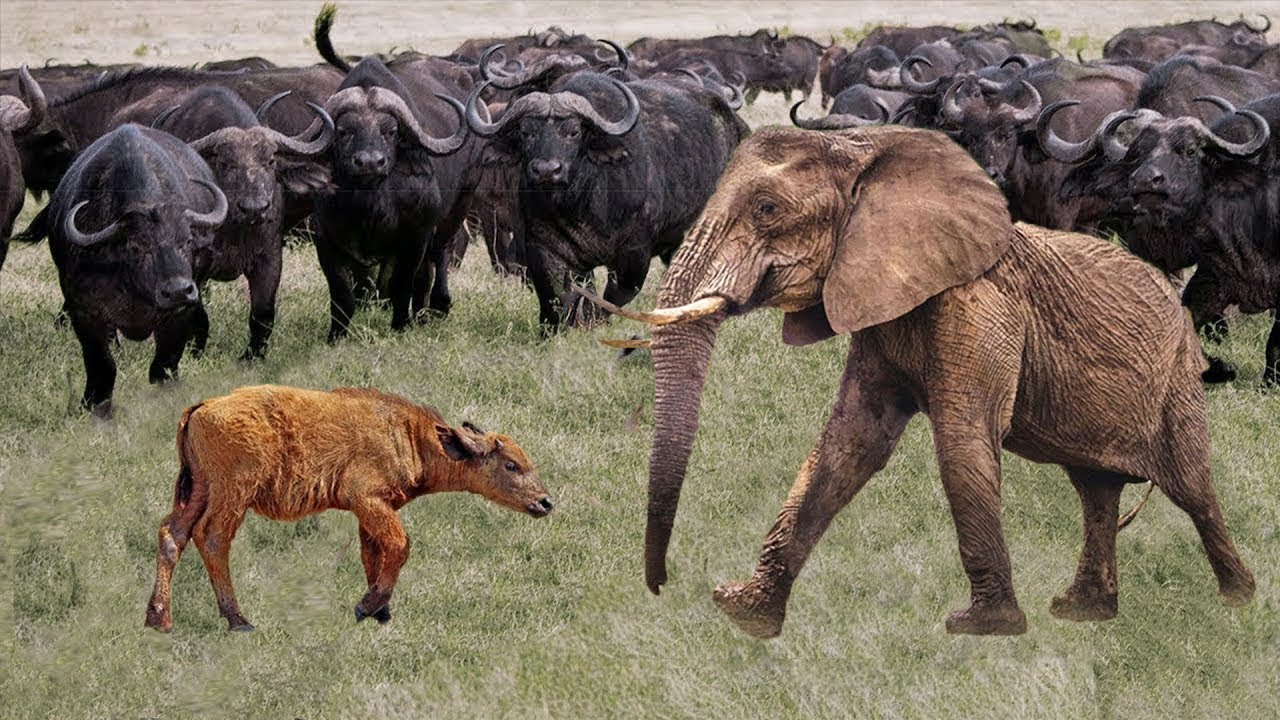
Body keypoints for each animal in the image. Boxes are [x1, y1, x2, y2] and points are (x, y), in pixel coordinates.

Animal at [583, 126, 1255, 637]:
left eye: (767, 210)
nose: (662, 586)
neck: (864, 147)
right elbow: (848, 445)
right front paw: (746, 614)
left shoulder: (978, 305)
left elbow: (961, 441)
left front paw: (982, 628)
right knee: (1096, 489)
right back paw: (1083, 614)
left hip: (1176, 379)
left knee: (1192, 487)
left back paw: (1237, 601)